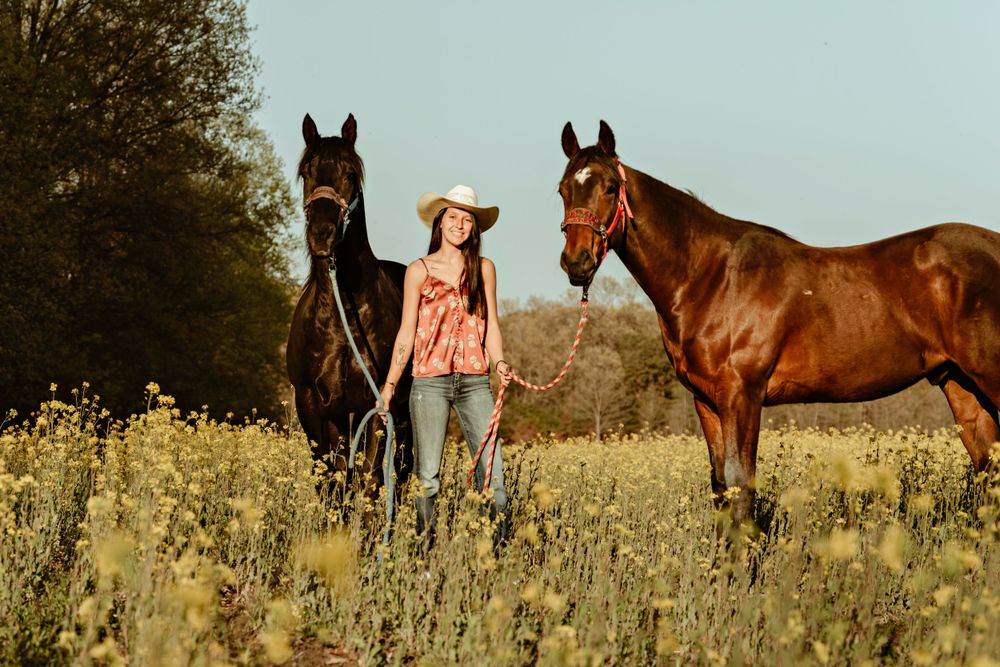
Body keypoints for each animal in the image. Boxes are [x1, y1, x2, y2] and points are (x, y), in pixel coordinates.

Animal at [286, 113, 411, 497]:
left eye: (351, 173)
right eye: (306, 171)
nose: (322, 234)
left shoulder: (379, 406)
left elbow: (370, 480)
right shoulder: (316, 409)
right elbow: (332, 483)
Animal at [557, 120, 1000, 531]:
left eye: (610, 187)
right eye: (562, 190)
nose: (576, 262)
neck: (711, 275)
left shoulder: (742, 393)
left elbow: (741, 482)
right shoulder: (706, 401)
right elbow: (721, 484)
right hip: (960, 384)